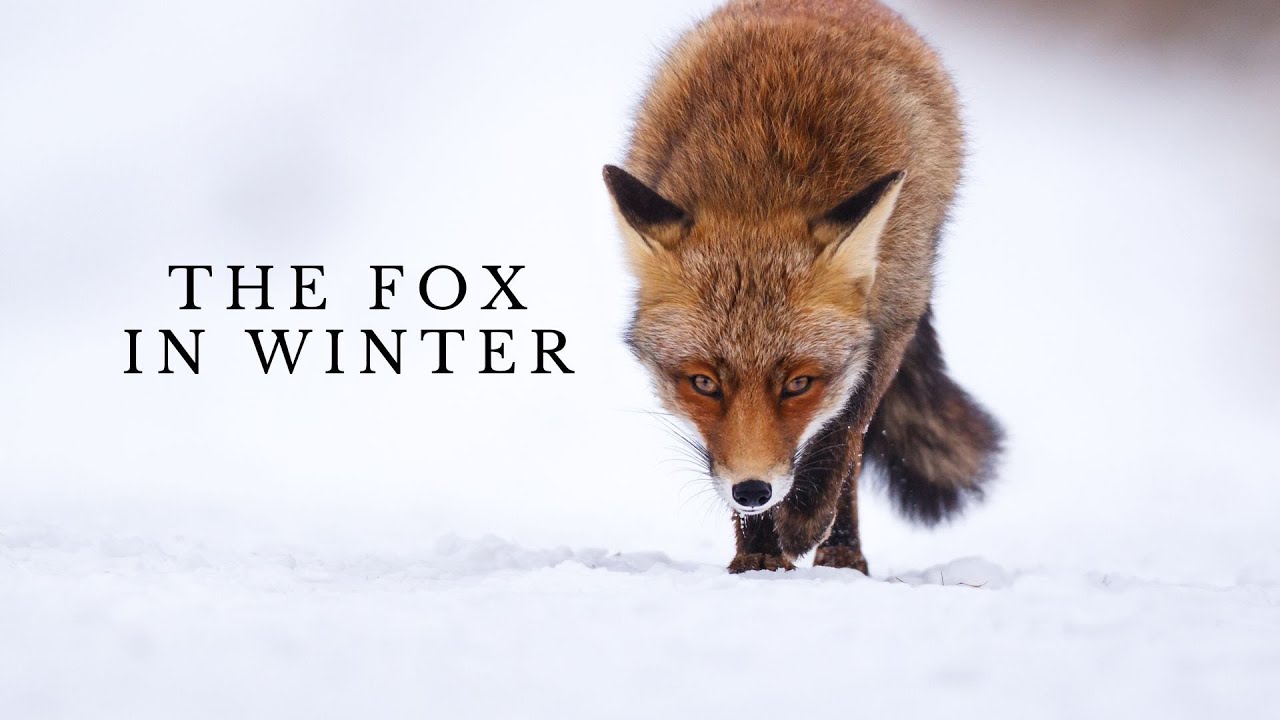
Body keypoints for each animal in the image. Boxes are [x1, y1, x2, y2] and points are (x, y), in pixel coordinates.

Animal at [603, 0, 1003, 573]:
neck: (760, 186)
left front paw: (803, 520)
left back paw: (842, 550)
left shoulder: (887, 324)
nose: (752, 490)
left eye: (799, 383)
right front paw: (758, 552)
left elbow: (842, 434)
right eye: (703, 383)